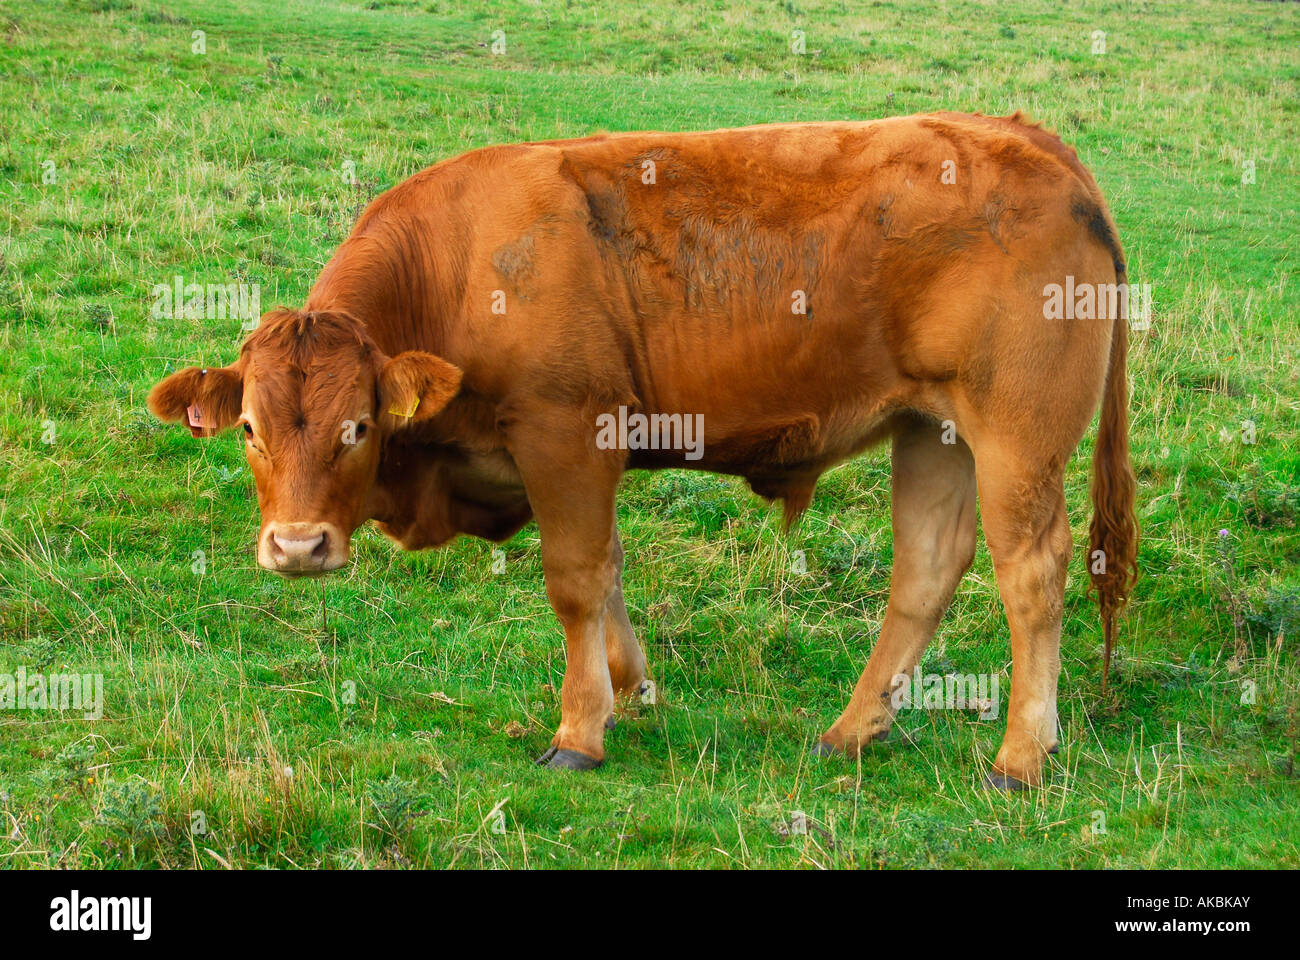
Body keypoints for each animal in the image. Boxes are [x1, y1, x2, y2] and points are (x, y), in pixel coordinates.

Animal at [148, 112, 1138, 788]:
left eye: (357, 425)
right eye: (250, 429)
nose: (297, 547)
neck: (460, 265)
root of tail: (1026, 136)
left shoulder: (566, 435)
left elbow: (576, 581)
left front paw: (580, 730)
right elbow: (611, 570)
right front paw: (631, 687)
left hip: (1016, 440)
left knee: (1032, 573)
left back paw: (1021, 754)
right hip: (934, 433)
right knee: (928, 571)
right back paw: (852, 730)